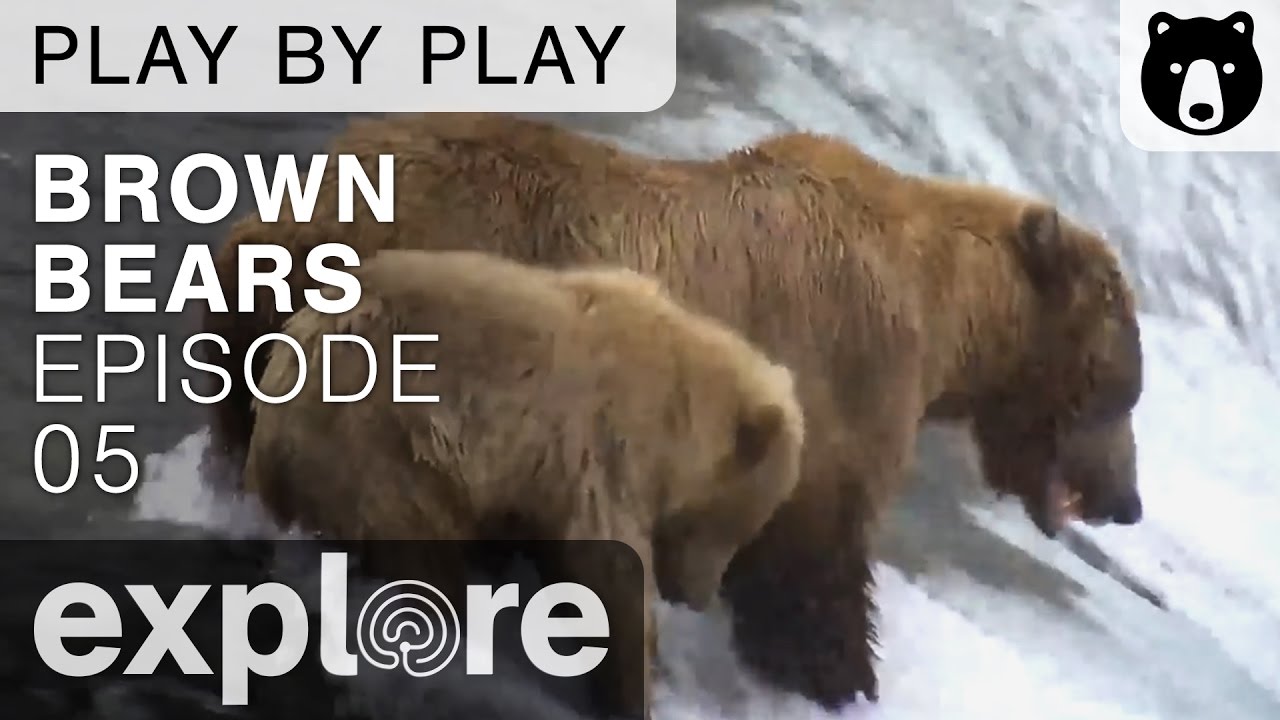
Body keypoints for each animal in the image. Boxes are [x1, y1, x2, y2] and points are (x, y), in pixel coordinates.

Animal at [240, 248, 807, 720]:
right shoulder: (608, 441)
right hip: (375, 436)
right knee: (420, 539)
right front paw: (633, 685)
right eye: (732, 526)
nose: (696, 594)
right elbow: (611, 563)